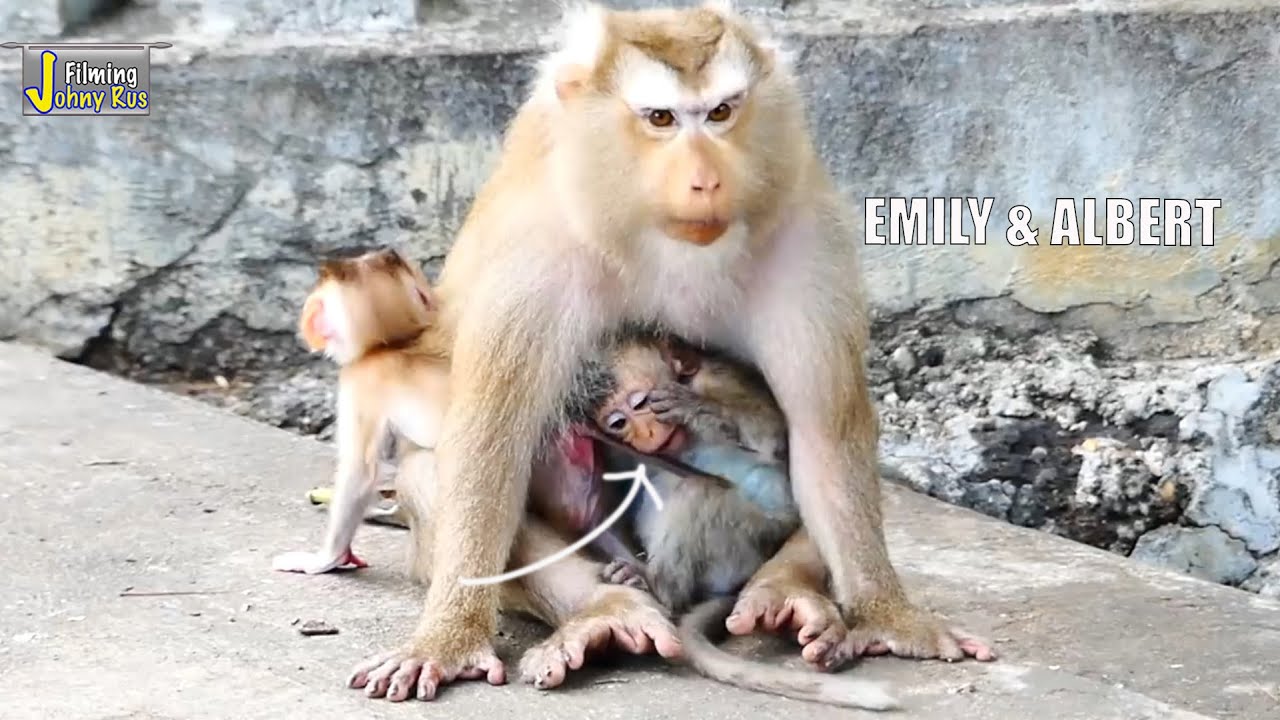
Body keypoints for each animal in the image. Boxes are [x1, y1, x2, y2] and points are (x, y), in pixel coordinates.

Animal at [346, 2, 994, 703]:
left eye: (721, 112)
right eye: (660, 119)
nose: (707, 180)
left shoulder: (806, 241)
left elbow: (823, 427)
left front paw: (889, 614)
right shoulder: (533, 260)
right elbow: (490, 443)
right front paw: (448, 639)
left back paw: (785, 591)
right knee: (431, 470)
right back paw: (604, 613)